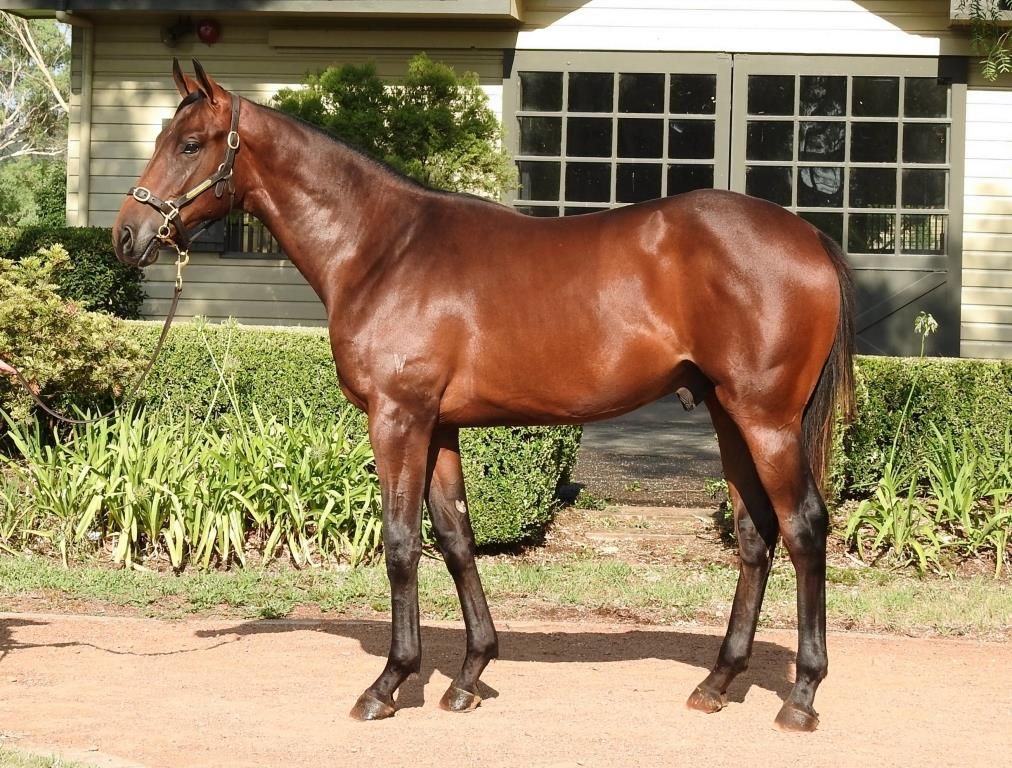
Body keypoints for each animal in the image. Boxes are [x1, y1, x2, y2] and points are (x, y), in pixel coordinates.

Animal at [114, 60, 855, 732]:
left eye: (190, 144)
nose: (126, 235)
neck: (382, 249)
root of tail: (809, 236)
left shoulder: (397, 419)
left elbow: (401, 543)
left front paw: (388, 684)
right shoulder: (438, 426)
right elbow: (455, 538)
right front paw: (469, 675)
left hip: (767, 419)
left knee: (802, 527)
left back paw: (802, 697)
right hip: (729, 415)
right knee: (756, 535)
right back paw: (718, 682)